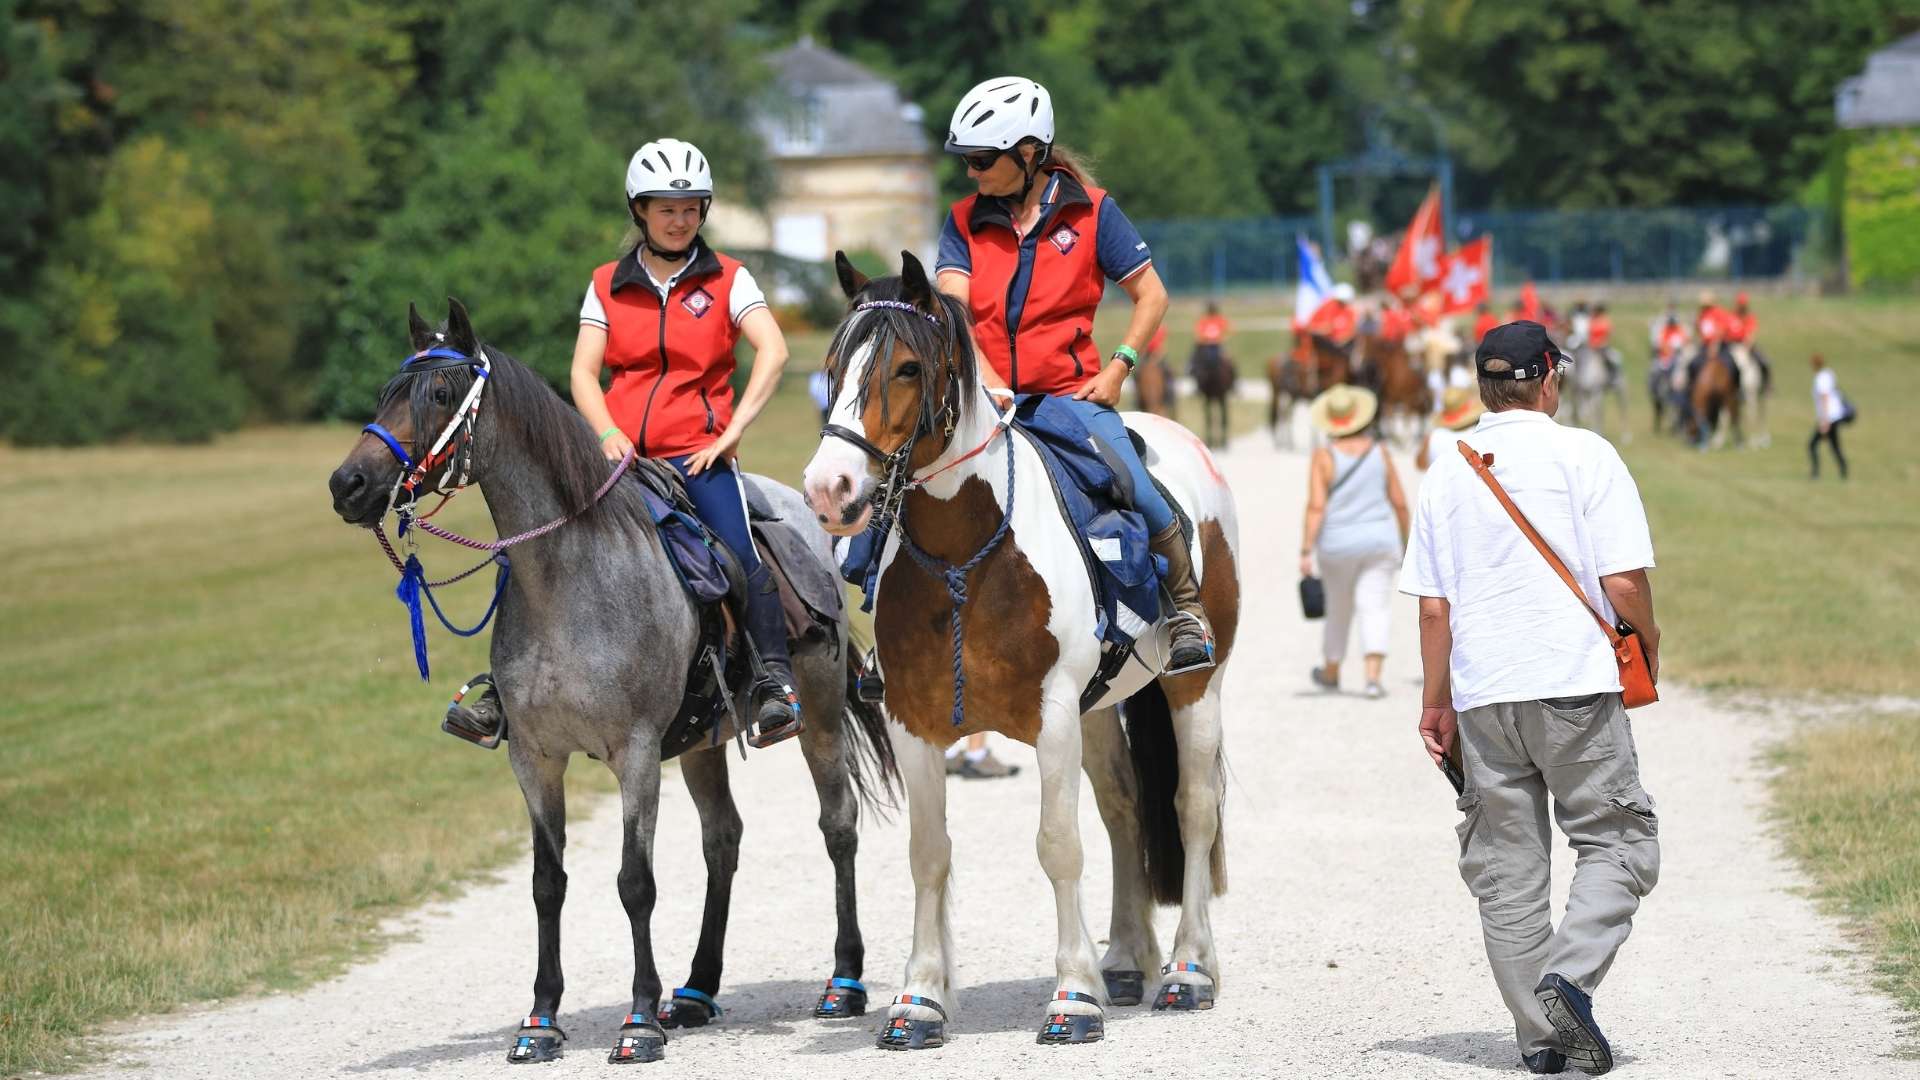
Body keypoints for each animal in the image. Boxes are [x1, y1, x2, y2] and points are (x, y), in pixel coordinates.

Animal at [327, 299, 899, 1065]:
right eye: (389, 391)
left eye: (441, 394)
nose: (348, 485)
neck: (568, 581)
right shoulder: (533, 757)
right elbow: (547, 883)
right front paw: (541, 1019)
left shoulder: (635, 753)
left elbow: (635, 883)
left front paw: (639, 1020)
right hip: (701, 743)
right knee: (722, 840)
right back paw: (696, 989)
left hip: (823, 717)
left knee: (838, 825)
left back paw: (842, 981)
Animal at [802, 252, 1237, 1051]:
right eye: (833, 366)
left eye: (907, 368)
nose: (828, 486)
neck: (968, 552)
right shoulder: (914, 725)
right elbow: (928, 853)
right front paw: (920, 998)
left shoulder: (1054, 716)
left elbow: (1058, 843)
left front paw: (1073, 996)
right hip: (1101, 710)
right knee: (1125, 809)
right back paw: (1126, 959)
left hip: (1196, 688)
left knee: (1193, 807)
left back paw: (1189, 969)